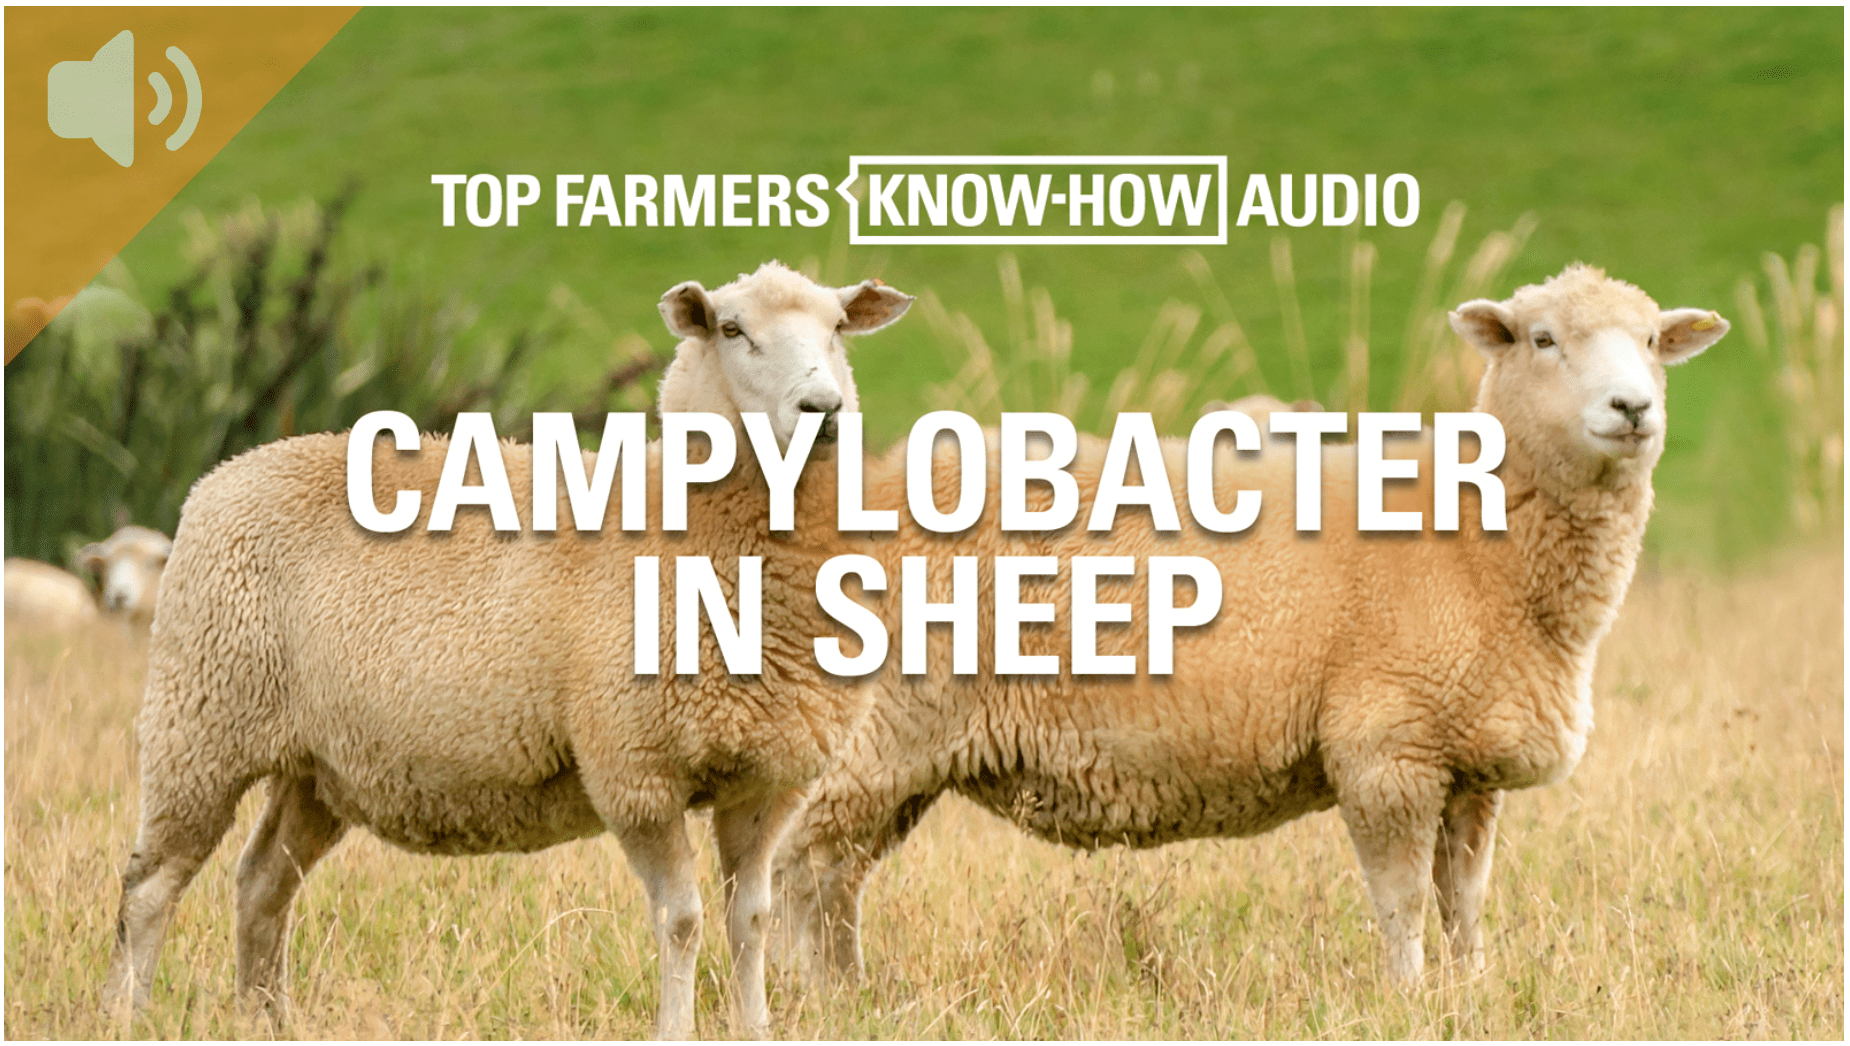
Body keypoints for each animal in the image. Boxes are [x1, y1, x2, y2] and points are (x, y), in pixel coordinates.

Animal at [101, 261, 914, 1039]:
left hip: (317, 765)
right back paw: (127, 1015)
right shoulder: (635, 771)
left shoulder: (768, 778)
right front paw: (676, 1029)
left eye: (838, 327)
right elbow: (680, 922)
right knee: (149, 888)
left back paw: (264, 1018)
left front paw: (755, 1028)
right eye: (732, 329)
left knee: (263, 882)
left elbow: (751, 922)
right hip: (201, 721)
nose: (824, 409)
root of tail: (224, 473)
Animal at [775, 263, 1729, 988]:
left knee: (834, 879)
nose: (1633, 408)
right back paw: (808, 997)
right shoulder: (1385, 750)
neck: (1479, 541)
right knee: (796, 869)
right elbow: (1402, 902)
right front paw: (1412, 996)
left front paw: (1475, 990)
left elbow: (1464, 901)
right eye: (1542, 340)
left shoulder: (1465, 761)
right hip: (868, 739)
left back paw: (849, 992)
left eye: (1653, 341)